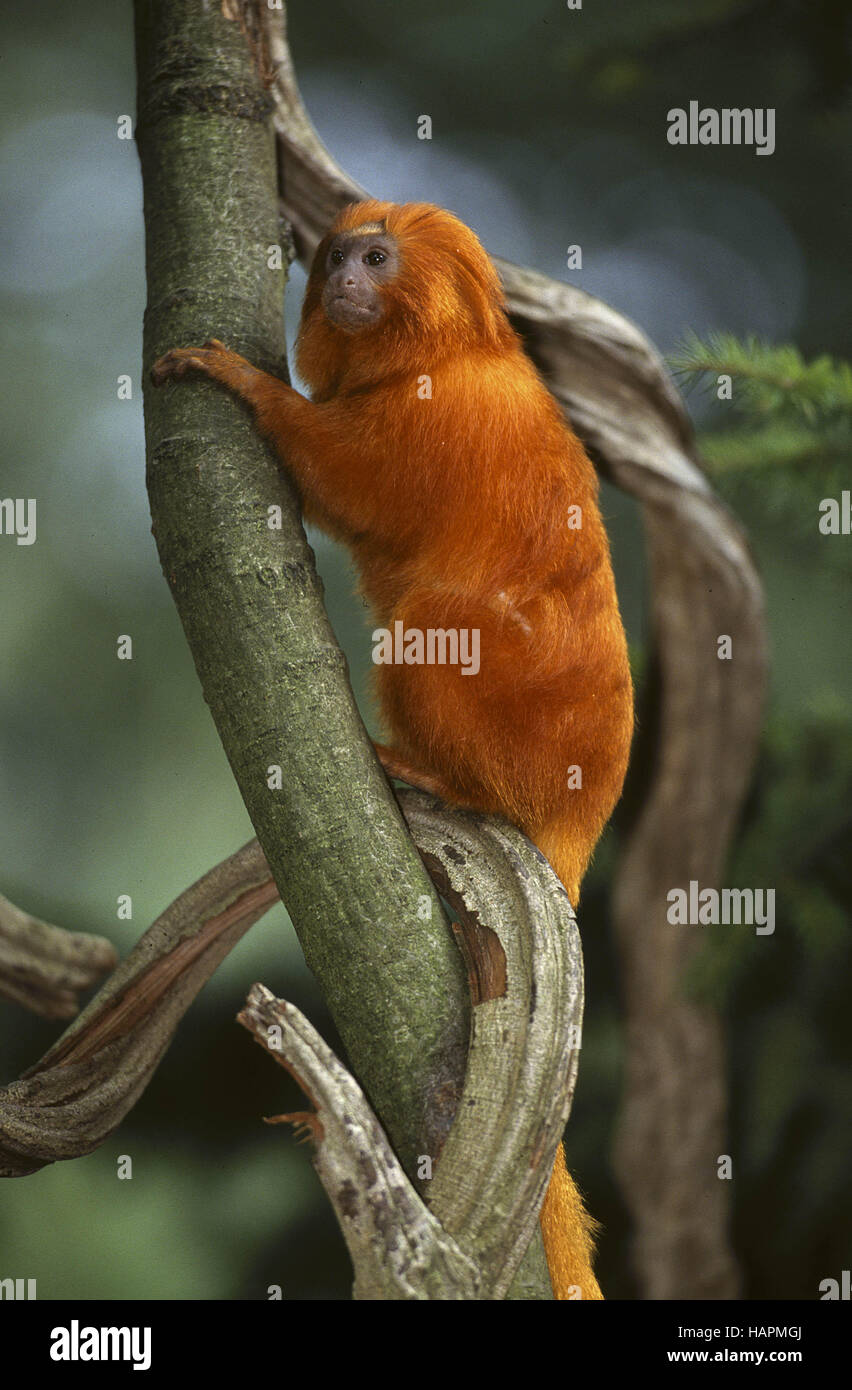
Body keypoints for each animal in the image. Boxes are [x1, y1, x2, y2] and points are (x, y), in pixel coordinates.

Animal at [151, 200, 634, 1301]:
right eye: (341, 252)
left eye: (377, 257)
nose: (340, 278)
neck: (443, 349)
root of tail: (580, 812)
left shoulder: (432, 413)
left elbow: (354, 489)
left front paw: (244, 385)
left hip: (521, 724)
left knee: (434, 620)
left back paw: (436, 771)